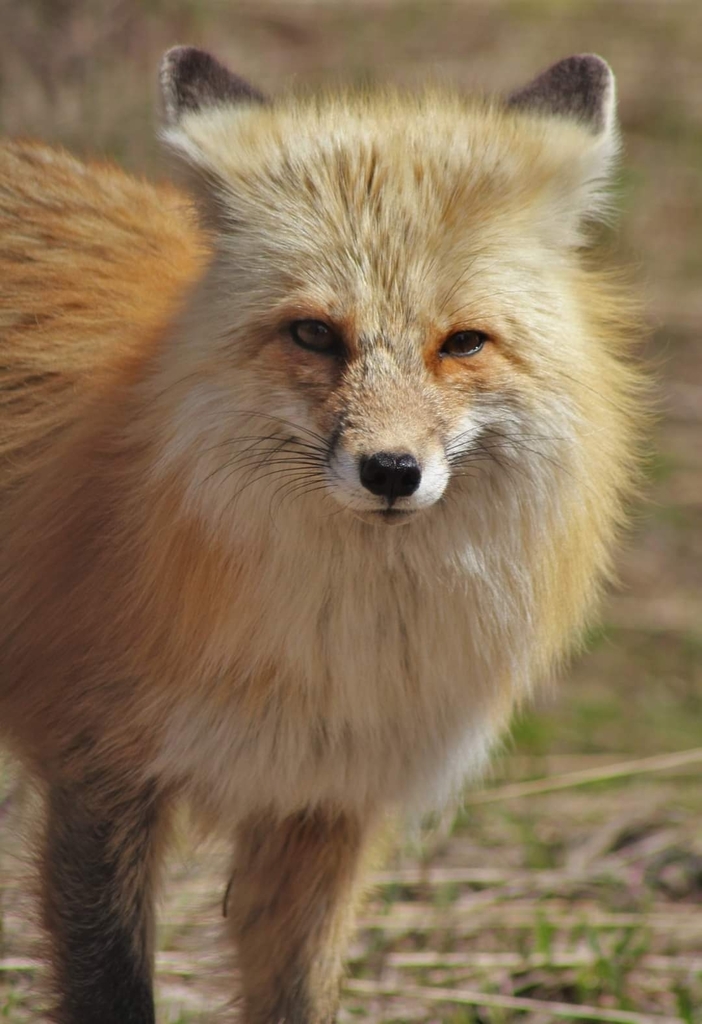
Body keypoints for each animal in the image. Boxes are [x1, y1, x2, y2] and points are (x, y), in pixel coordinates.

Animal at [0, 46, 645, 1023]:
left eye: (463, 343)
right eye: (313, 333)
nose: (391, 471)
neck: (336, 652)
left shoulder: (324, 804)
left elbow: (299, 997)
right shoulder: (97, 770)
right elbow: (112, 988)